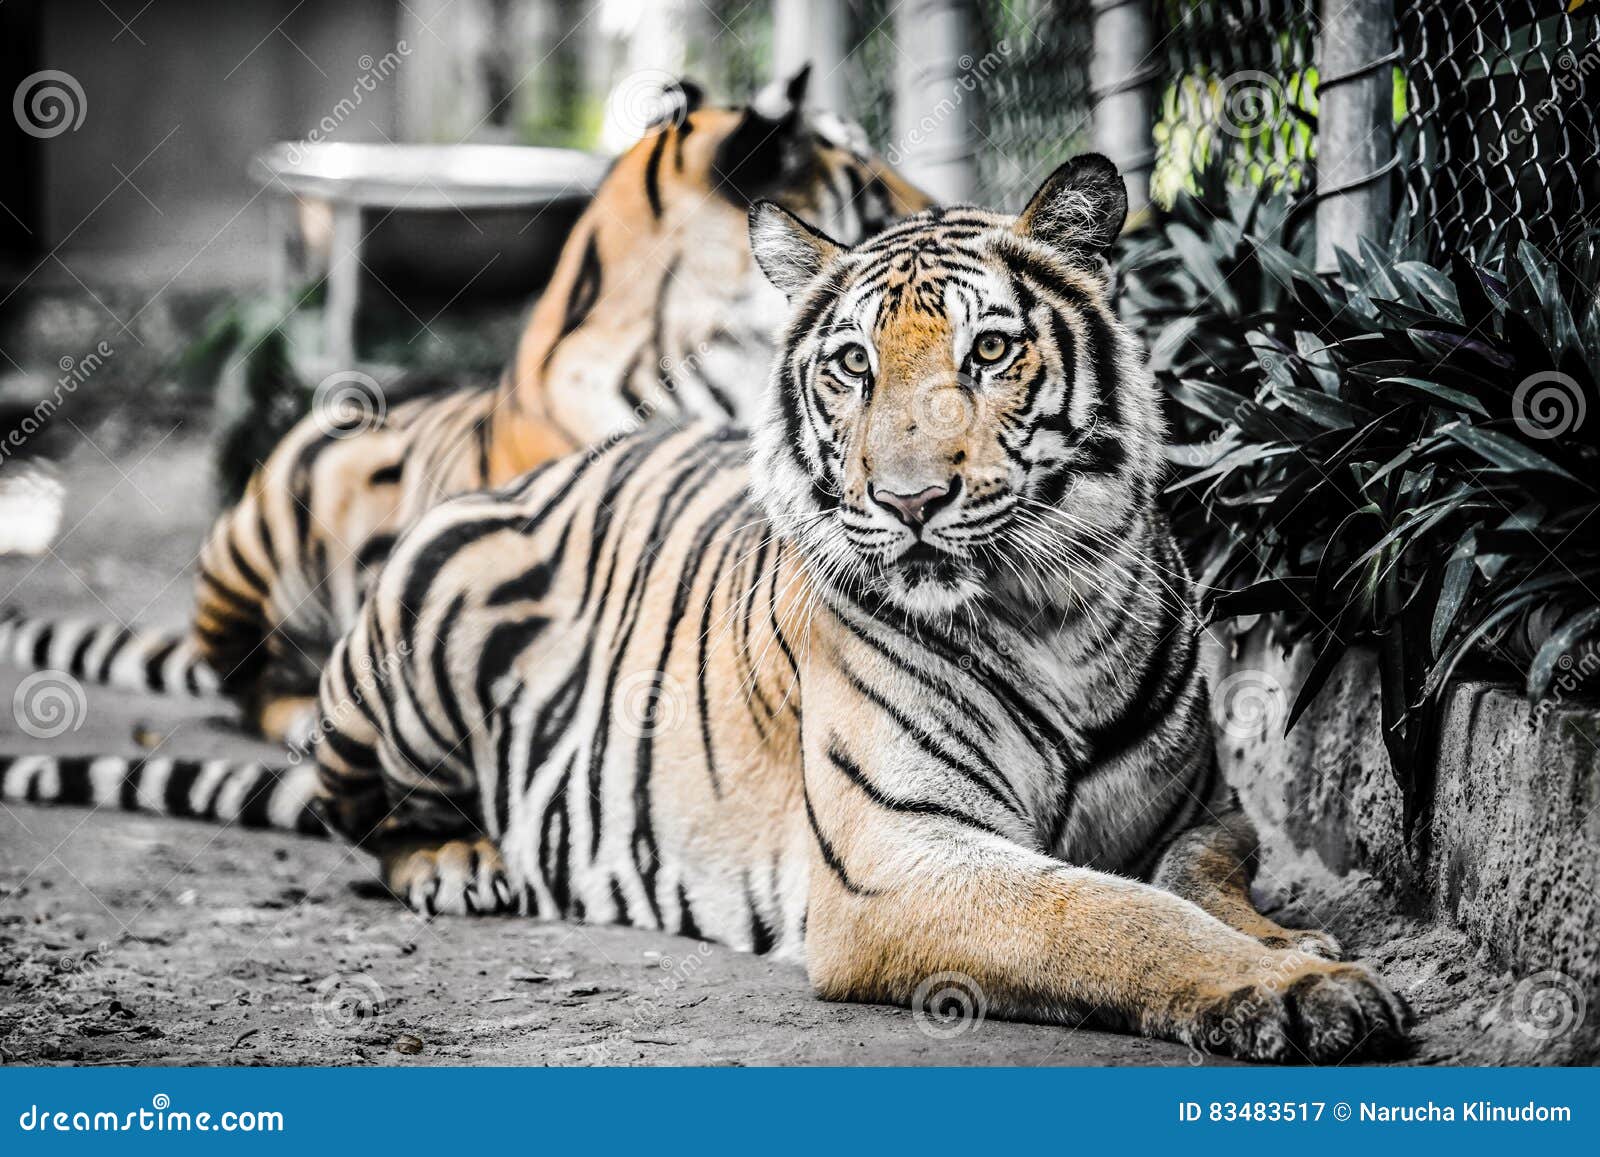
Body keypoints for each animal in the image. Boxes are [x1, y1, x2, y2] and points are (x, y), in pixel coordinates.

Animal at [293, 153, 1412, 1062]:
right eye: (850, 364)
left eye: (989, 351)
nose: (909, 501)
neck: (1057, 616)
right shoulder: (901, 855)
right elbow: (1114, 913)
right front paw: (1303, 987)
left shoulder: (1206, 811)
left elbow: (1196, 880)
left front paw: (1288, 938)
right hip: (408, 639)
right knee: (358, 812)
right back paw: (460, 861)